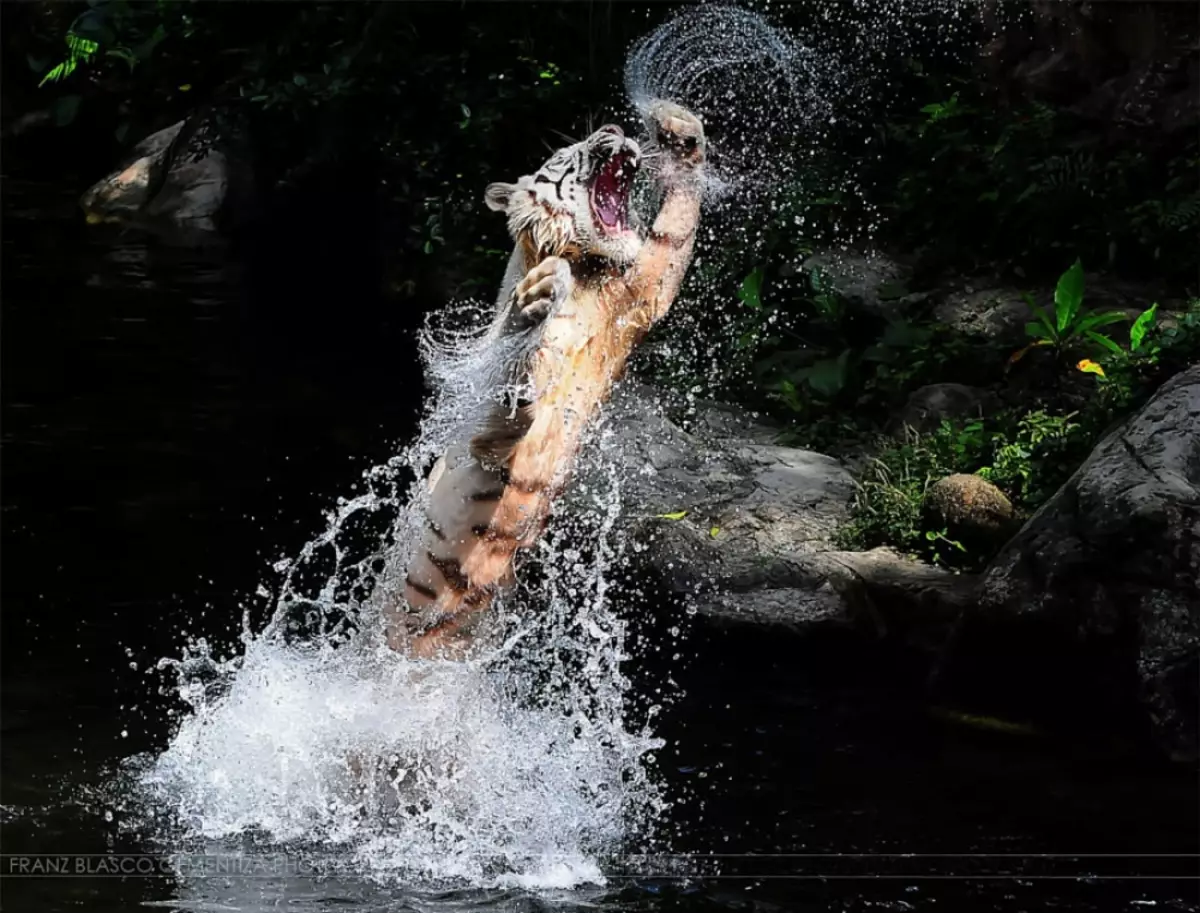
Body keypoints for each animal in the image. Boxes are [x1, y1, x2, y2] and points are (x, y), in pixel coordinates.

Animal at [381, 99, 700, 657]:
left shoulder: (643, 292)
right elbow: (509, 368)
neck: (589, 274)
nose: (614, 126)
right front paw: (534, 298)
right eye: (565, 152)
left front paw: (680, 125)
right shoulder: (484, 433)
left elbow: (674, 232)